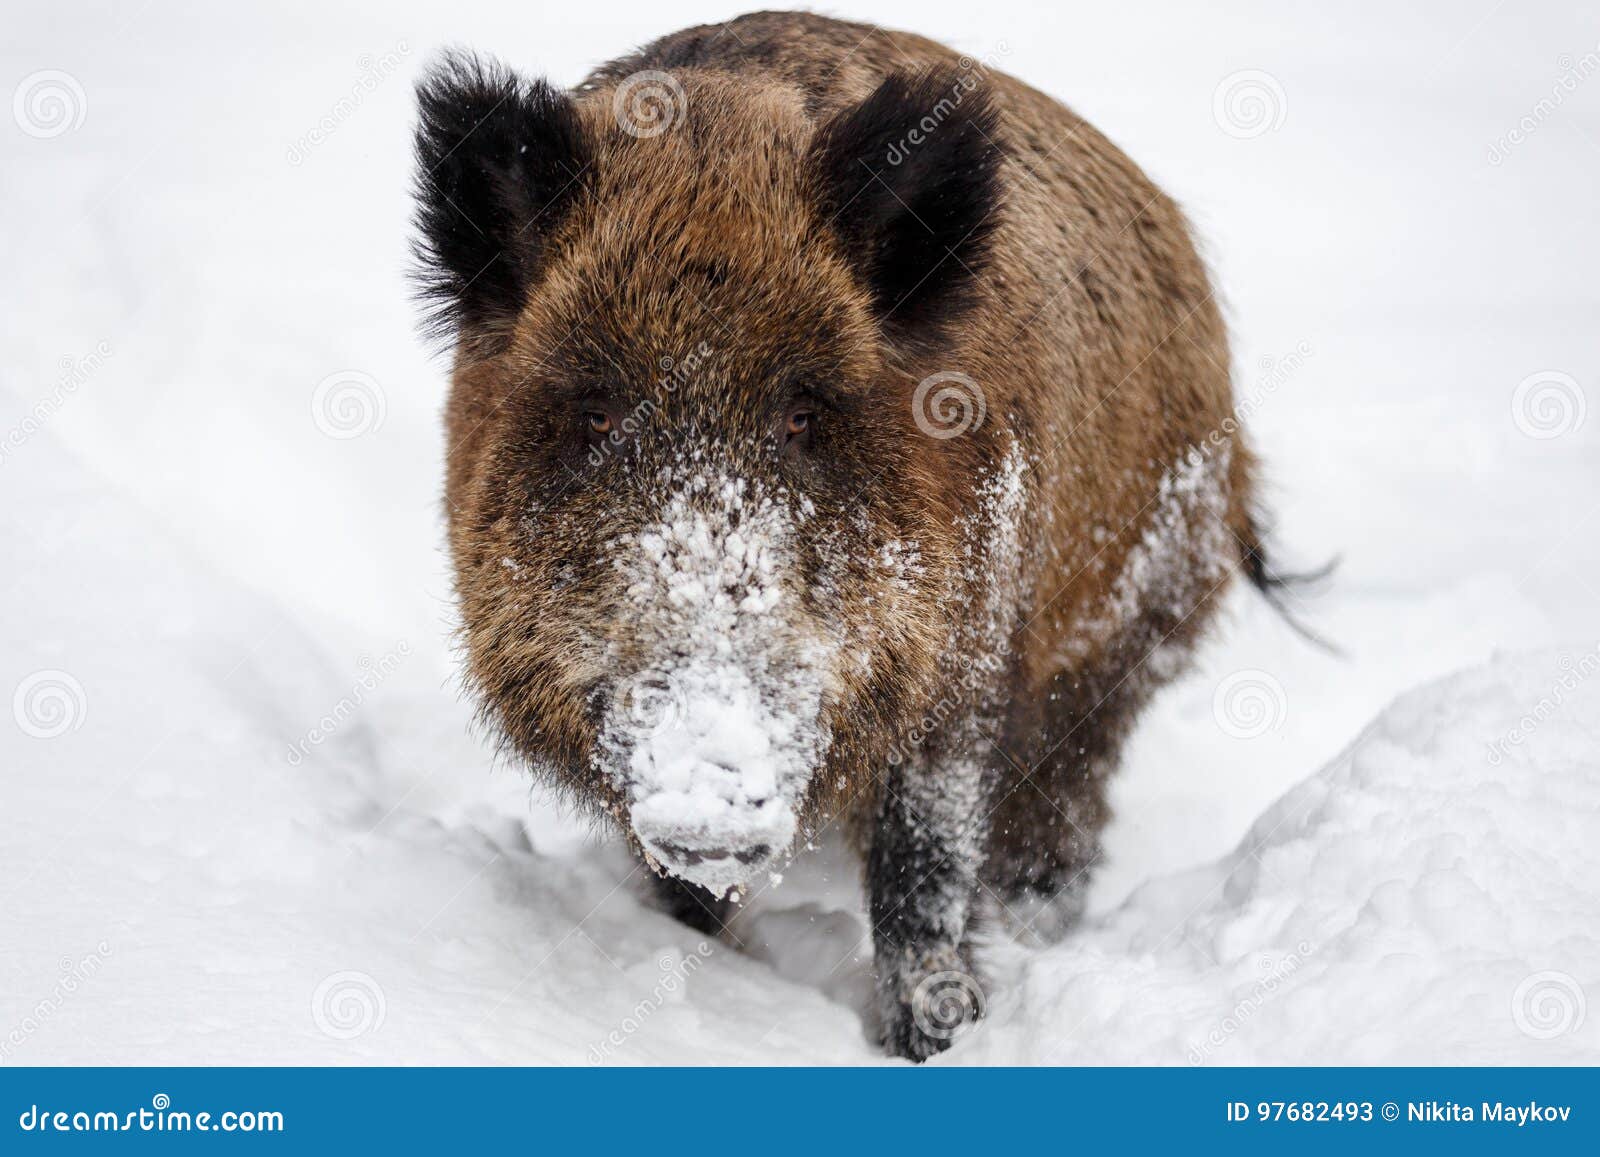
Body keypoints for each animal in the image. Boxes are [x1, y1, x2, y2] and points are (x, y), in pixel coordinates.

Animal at [413, 10, 1288, 1060]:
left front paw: (943, 1031)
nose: (712, 781)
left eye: (801, 415)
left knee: (1064, 808)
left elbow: (925, 851)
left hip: (1123, 640)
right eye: (596, 411)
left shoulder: (971, 650)